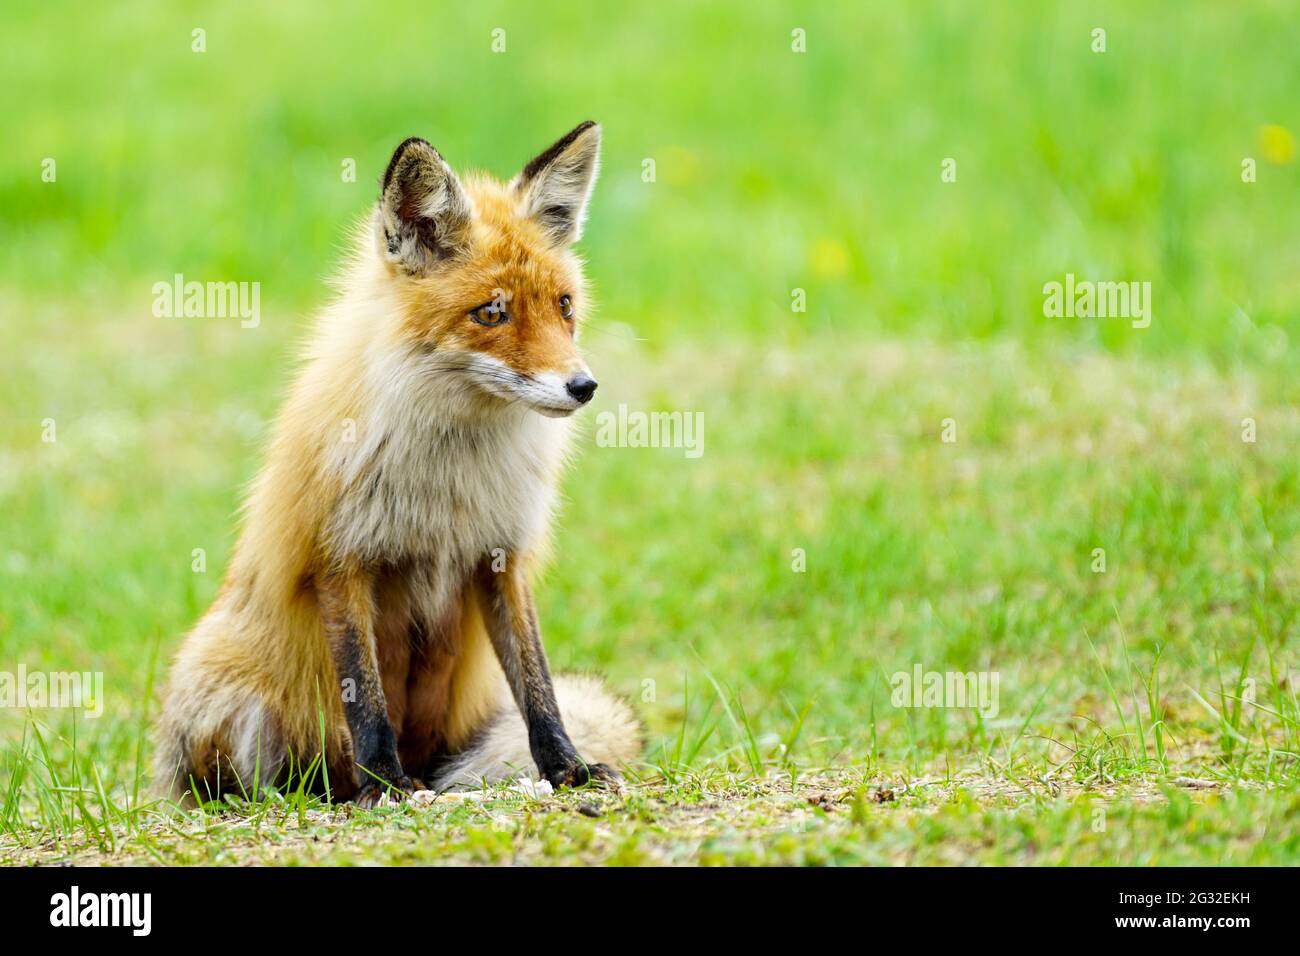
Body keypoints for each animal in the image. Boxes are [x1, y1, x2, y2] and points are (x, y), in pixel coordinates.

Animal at [153, 121, 642, 806]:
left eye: (565, 306)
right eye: (492, 312)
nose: (584, 386)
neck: (451, 475)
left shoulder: (500, 554)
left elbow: (538, 684)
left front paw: (566, 767)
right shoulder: (339, 558)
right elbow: (364, 693)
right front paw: (383, 782)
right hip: (234, 698)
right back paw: (324, 787)